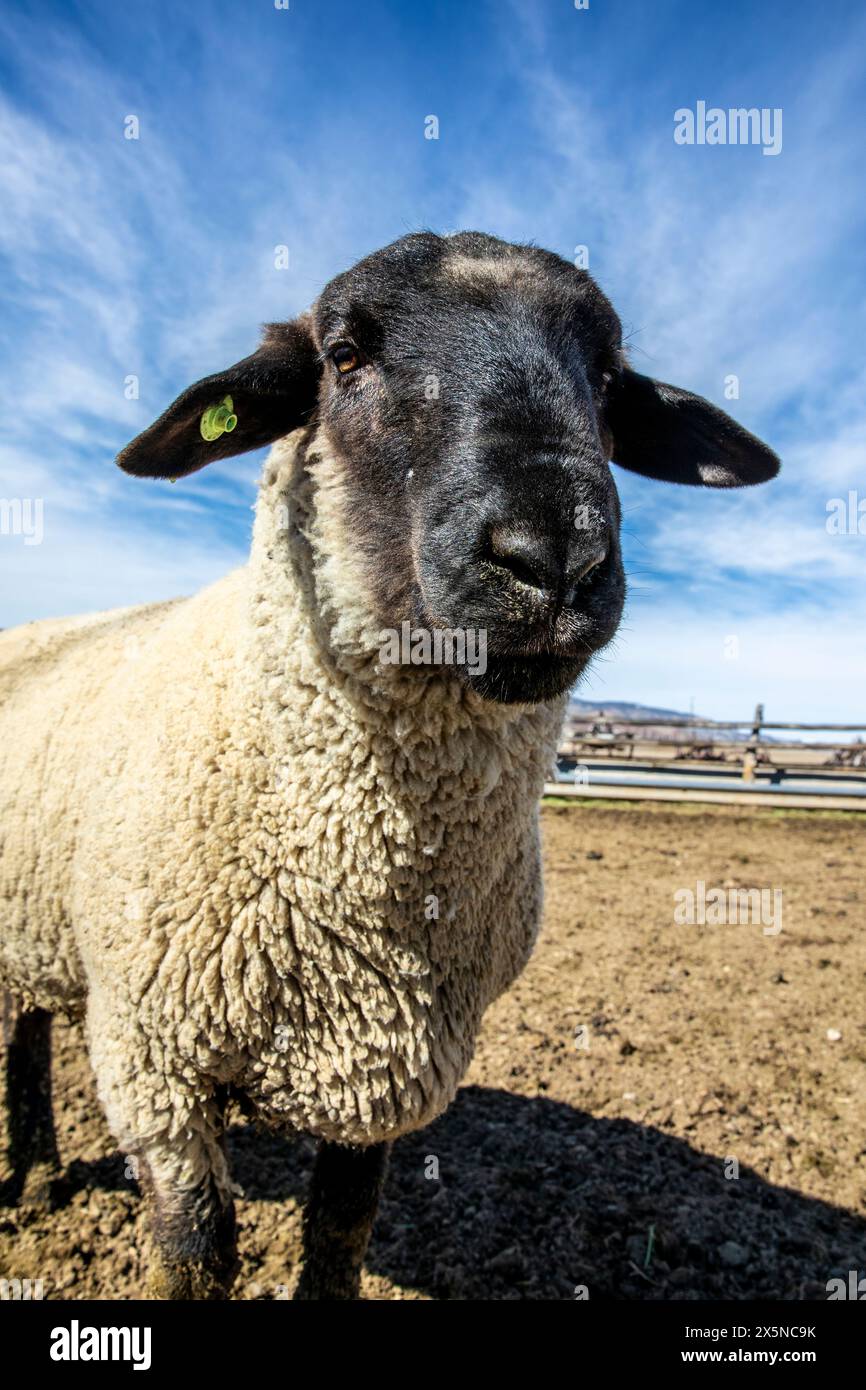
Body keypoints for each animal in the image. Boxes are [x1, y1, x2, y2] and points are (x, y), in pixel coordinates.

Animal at [0, 231, 780, 1299]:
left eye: (609, 376)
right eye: (342, 355)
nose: (553, 559)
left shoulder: (382, 1067)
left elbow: (340, 1234)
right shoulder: (153, 1067)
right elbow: (193, 1255)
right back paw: (33, 1180)